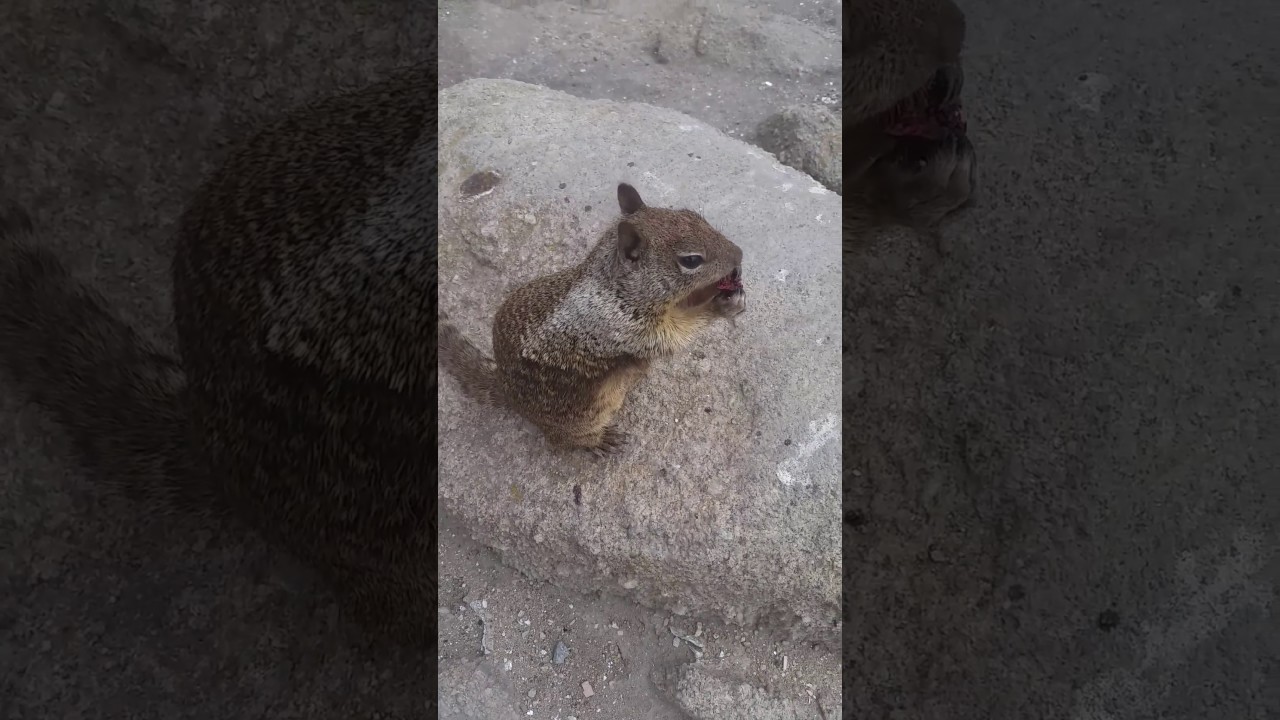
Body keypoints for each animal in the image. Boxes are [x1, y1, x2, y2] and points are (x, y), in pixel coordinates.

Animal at [439, 183, 745, 456]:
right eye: (691, 260)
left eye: (695, 215)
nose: (740, 254)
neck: (616, 289)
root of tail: (504, 387)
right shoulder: (631, 330)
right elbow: (678, 335)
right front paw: (721, 306)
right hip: (578, 420)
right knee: (564, 440)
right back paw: (598, 441)